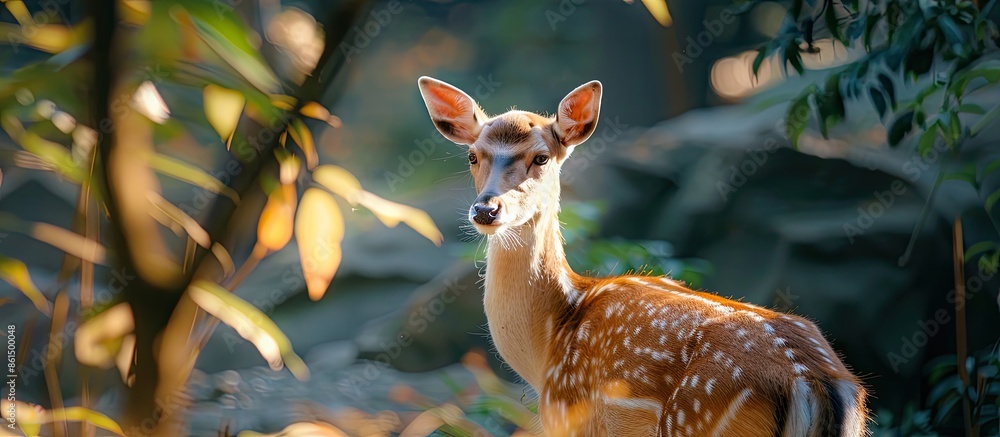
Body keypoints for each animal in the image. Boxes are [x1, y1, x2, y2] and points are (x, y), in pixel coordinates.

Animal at [417, 76, 869, 437]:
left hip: (695, 421)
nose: (486, 209)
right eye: (473, 156)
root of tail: (813, 381)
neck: (548, 344)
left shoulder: (571, 419)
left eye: (541, 157)